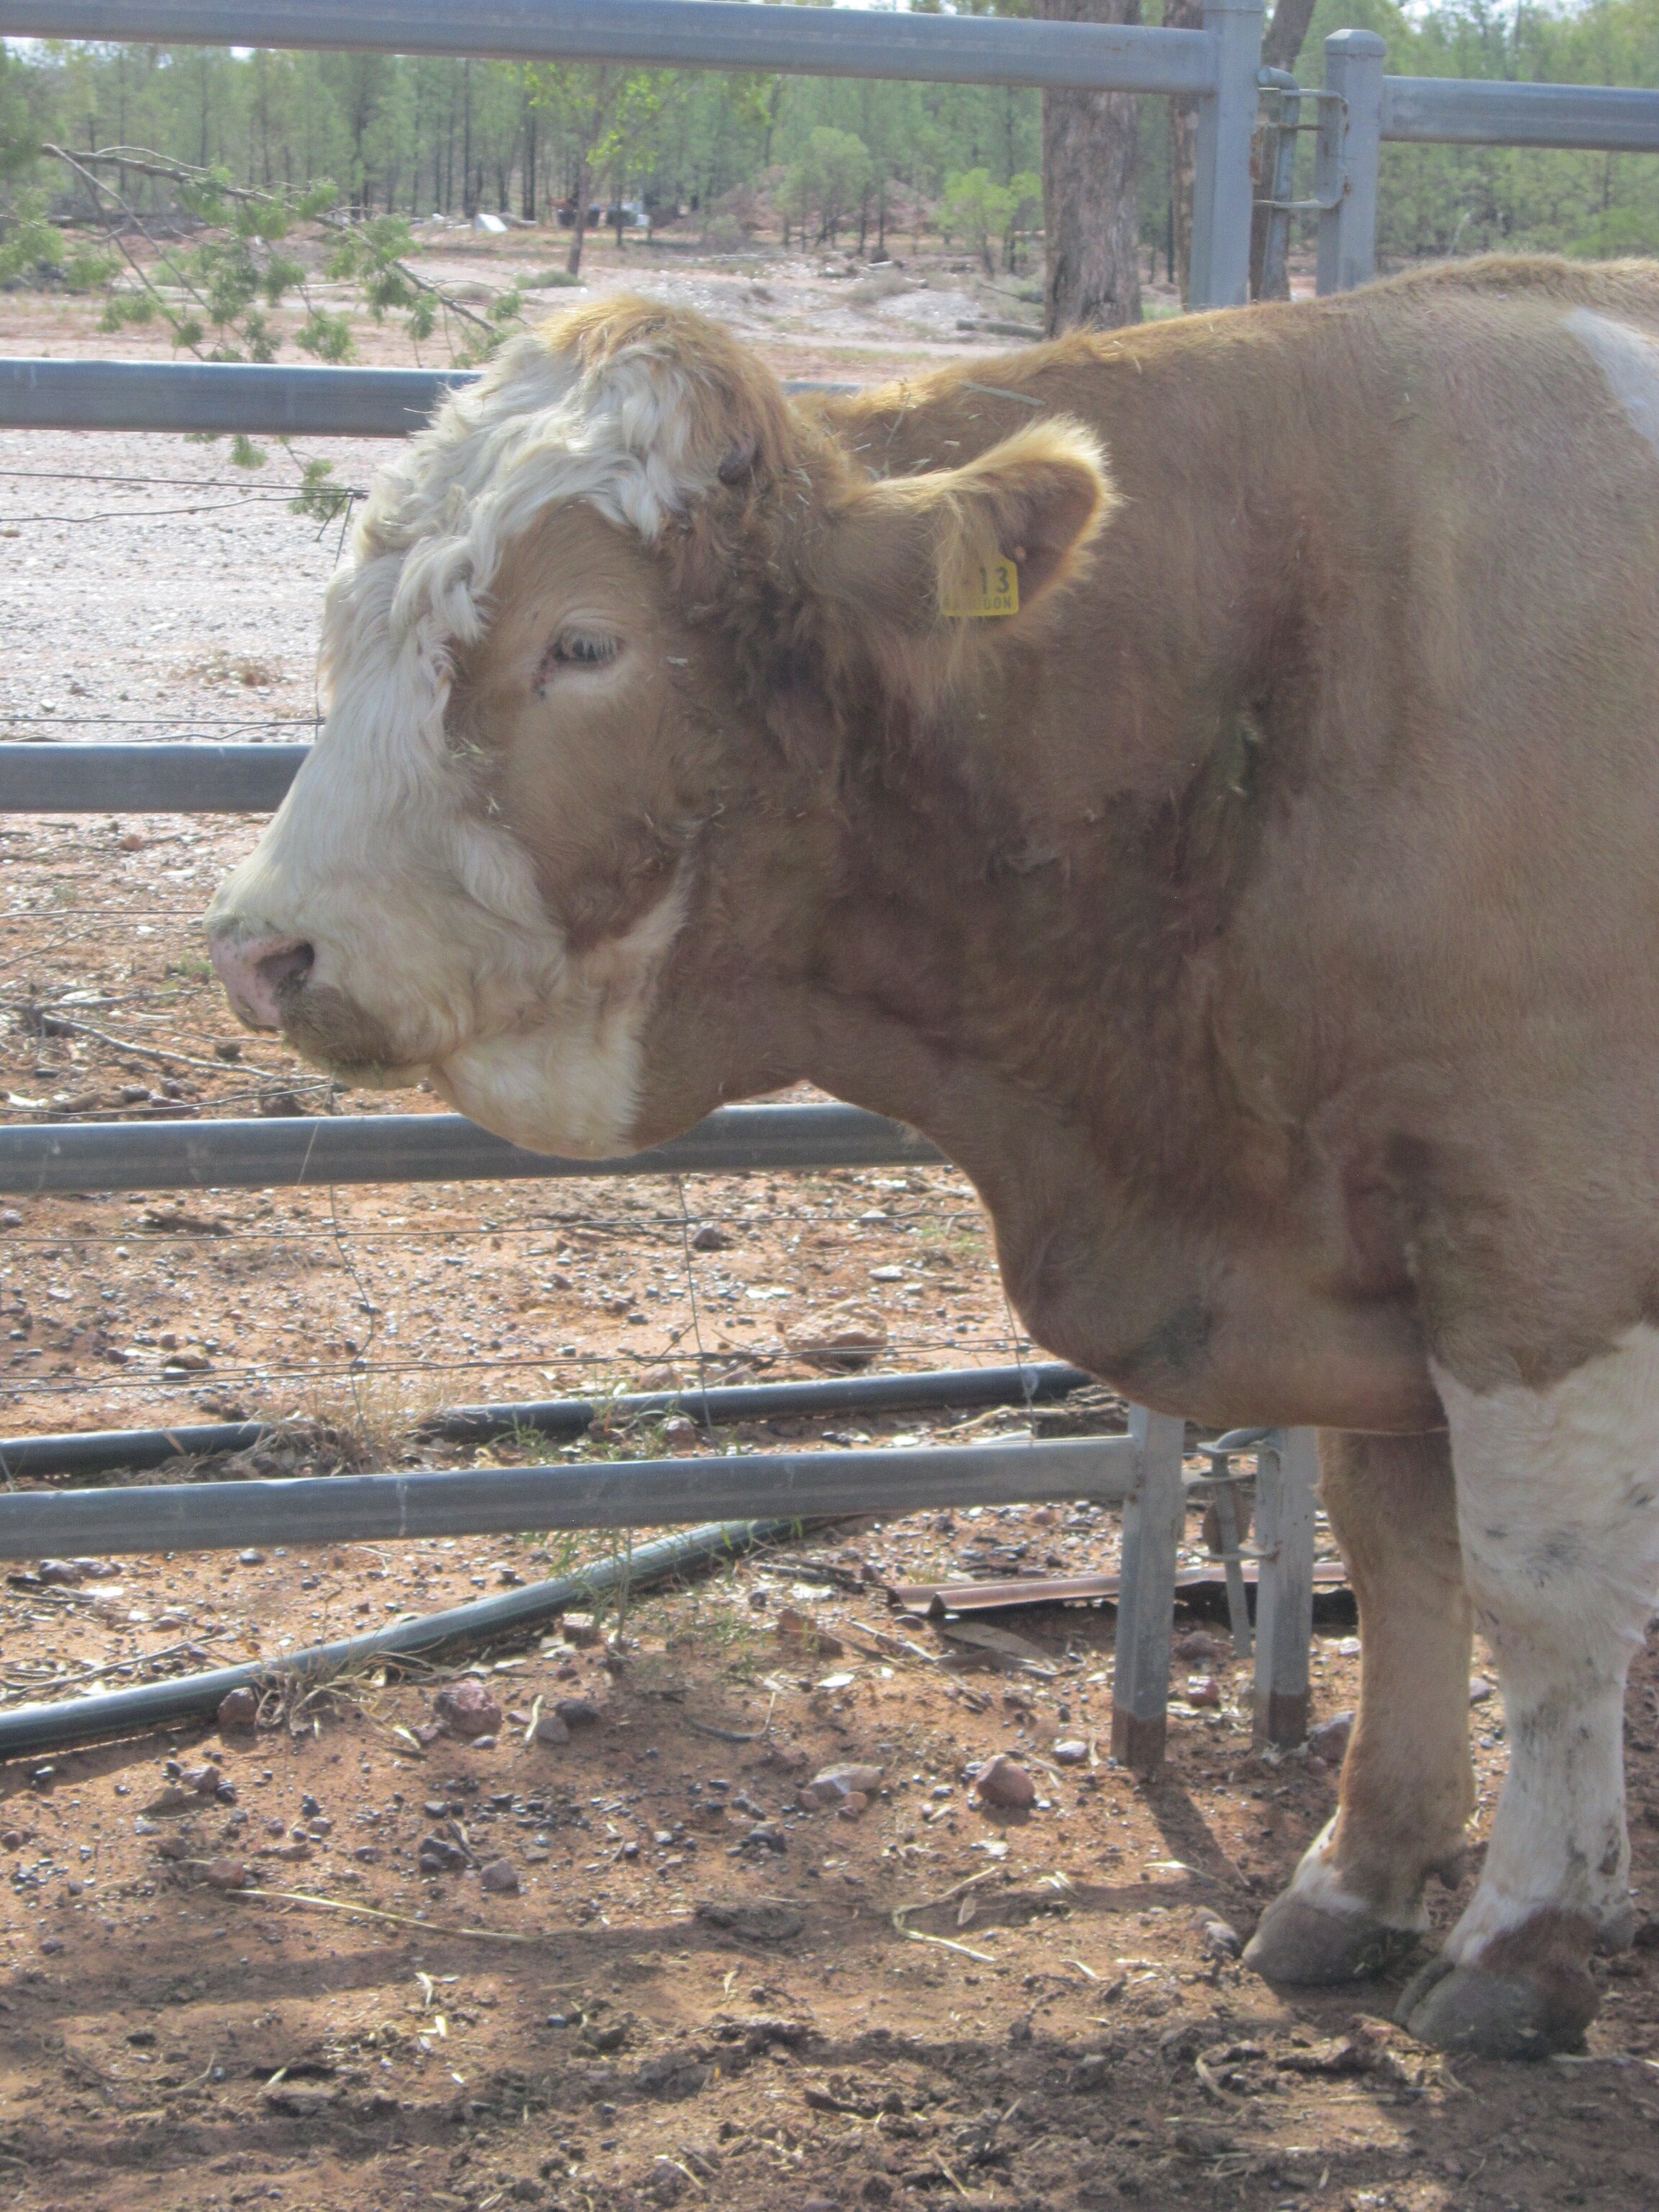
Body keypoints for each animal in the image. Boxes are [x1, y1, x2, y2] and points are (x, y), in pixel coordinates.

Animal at [207, 260, 1659, 2058]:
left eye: (583, 642)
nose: (261, 949)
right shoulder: (1365, 1233)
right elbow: (1403, 1560)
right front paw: (1365, 1874)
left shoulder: (1540, 1229)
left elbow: (1543, 1590)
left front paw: (1528, 1935)